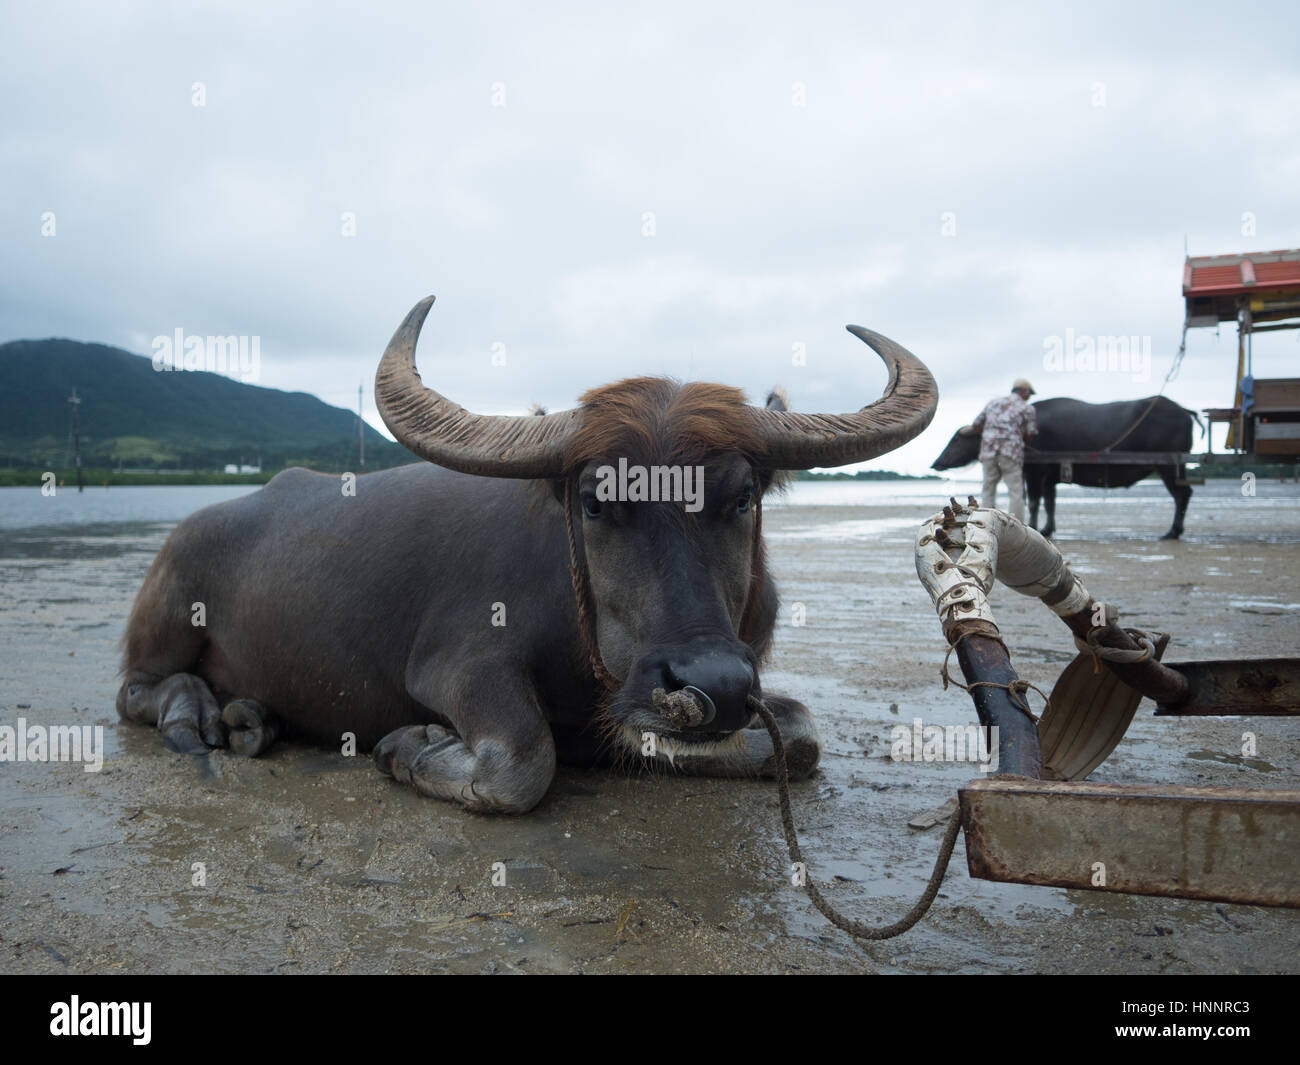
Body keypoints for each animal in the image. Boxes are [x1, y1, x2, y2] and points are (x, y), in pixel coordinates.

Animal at [117, 296, 938, 813]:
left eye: (741, 497)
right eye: (596, 501)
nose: (713, 683)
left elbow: (799, 735)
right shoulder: (456, 664)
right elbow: (520, 759)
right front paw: (411, 746)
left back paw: (251, 713)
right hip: (168, 603)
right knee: (135, 689)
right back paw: (197, 709)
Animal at [931, 396, 1197, 540]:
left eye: (957, 438)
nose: (936, 463)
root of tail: (1183, 410)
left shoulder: (1034, 473)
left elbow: (1034, 501)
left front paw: (1035, 527)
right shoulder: (1050, 477)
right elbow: (1050, 502)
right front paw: (1048, 528)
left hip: (1169, 467)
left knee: (1182, 494)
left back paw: (1173, 532)